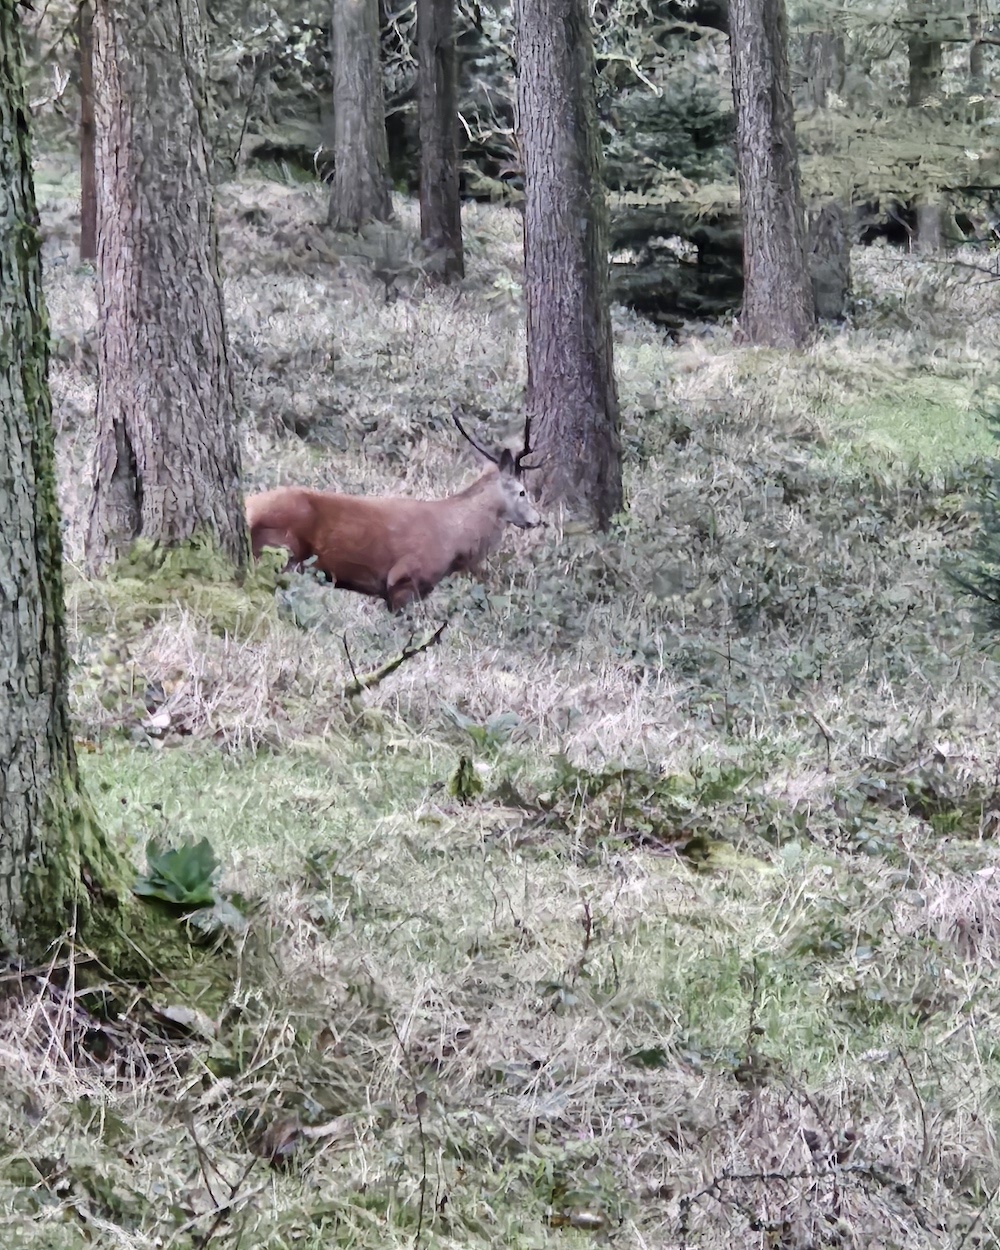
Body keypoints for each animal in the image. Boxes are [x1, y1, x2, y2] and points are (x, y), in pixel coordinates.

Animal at [245, 412, 542, 611]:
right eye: (522, 492)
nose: (537, 520)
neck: (452, 541)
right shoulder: (404, 578)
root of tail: (248, 506)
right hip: (281, 551)